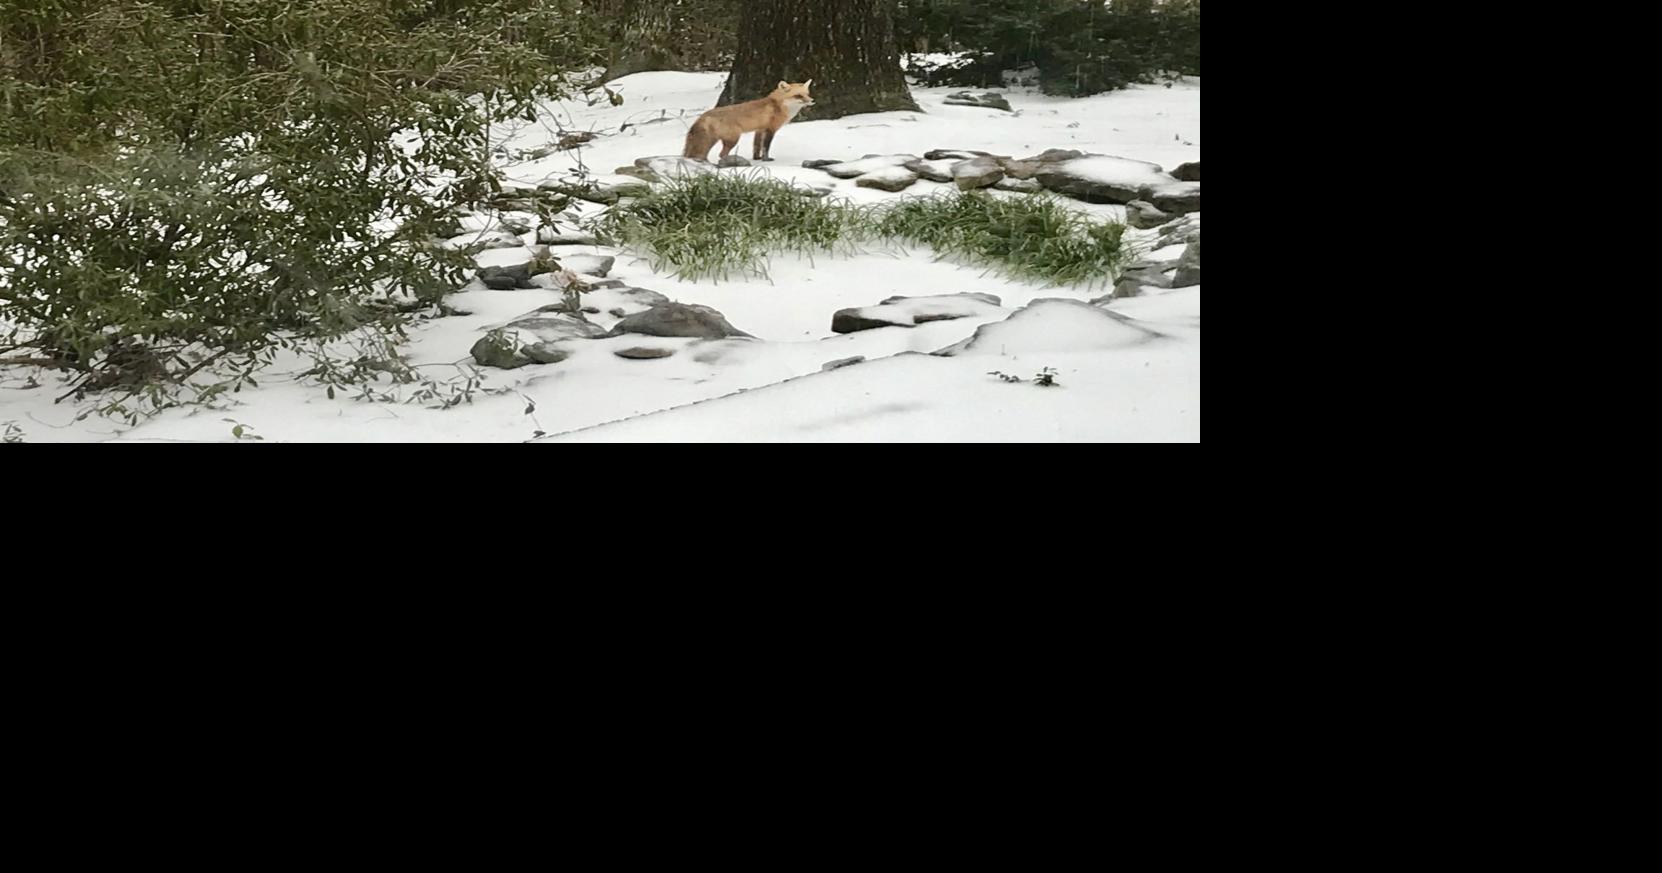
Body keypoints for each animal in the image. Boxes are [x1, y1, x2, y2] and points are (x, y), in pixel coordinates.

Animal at [683, 80, 815, 163]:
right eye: (798, 96)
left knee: (704, 155)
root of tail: (703, 116)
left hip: (714, 140)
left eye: (807, 94)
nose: (812, 101)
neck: (778, 106)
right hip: (733, 139)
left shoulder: (759, 130)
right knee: (721, 154)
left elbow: (756, 146)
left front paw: (757, 159)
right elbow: (766, 147)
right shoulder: (770, 129)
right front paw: (766, 160)